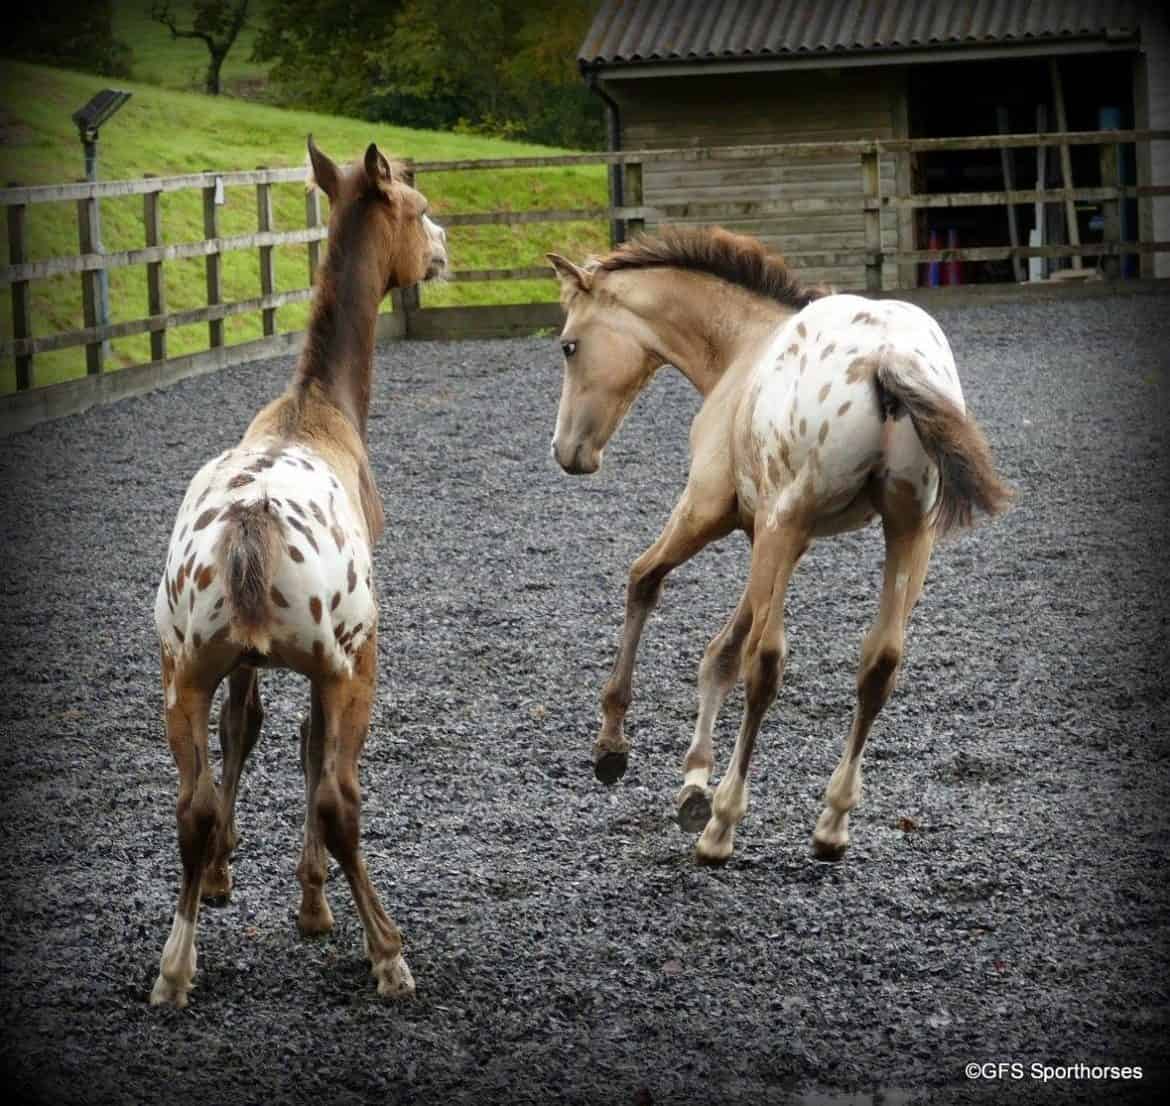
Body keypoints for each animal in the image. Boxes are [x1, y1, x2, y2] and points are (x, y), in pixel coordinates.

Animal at [150, 137, 447, 1007]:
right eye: (418, 209)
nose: (443, 248)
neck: (320, 410)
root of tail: (250, 530)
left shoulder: (239, 665)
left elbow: (242, 730)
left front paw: (223, 877)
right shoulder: (332, 664)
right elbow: (312, 751)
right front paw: (313, 905)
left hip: (182, 669)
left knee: (190, 806)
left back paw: (175, 965)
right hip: (351, 659)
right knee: (339, 796)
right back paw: (387, 952)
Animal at [546, 226, 1011, 864]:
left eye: (569, 346)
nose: (567, 452)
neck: (744, 346)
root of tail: (886, 357)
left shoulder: (715, 513)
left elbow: (646, 581)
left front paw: (614, 746)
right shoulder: (768, 534)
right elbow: (719, 652)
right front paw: (693, 779)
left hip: (787, 524)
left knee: (766, 663)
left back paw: (723, 826)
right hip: (905, 533)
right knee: (878, 664)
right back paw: (831, 823)